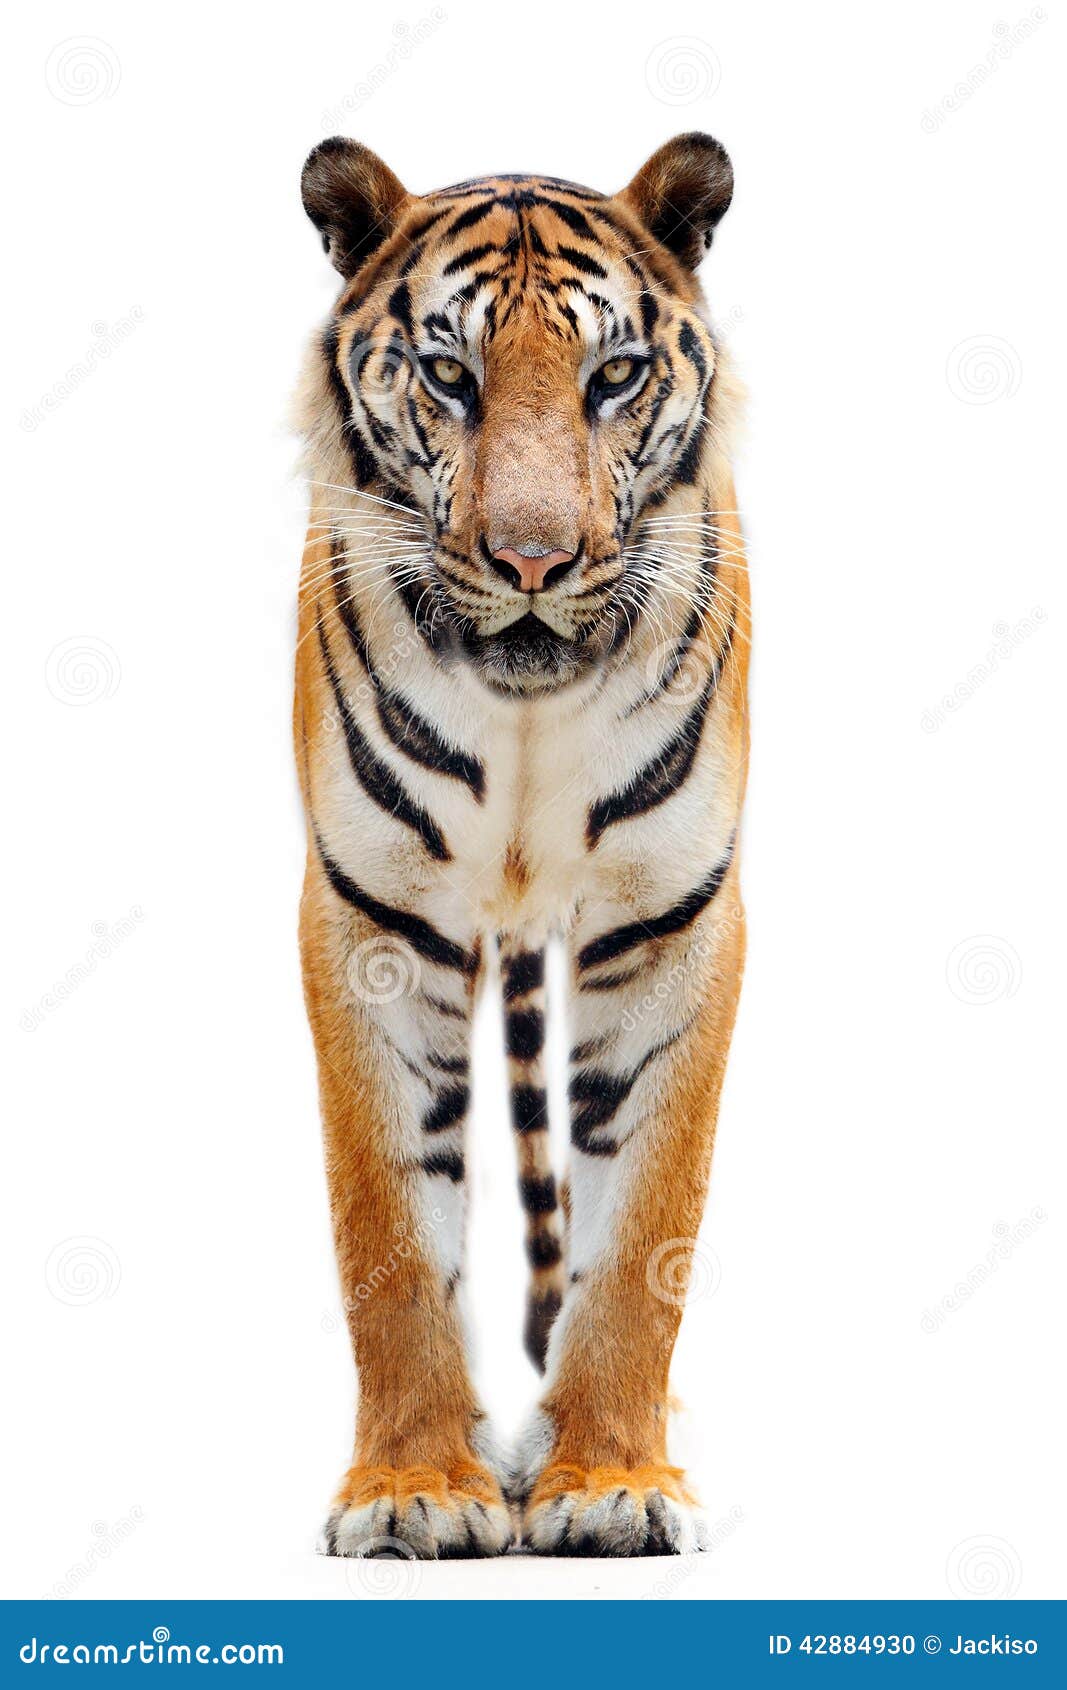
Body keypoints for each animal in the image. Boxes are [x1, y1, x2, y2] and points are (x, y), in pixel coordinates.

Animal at [293, 131, 749, 1558]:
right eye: (449, 375)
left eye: (612, 376)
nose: (534, 561)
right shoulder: (373, 919)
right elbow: (385, 1228)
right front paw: (412, 1489)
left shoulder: (670, 922)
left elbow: (645, 1232)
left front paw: (609, 1479)